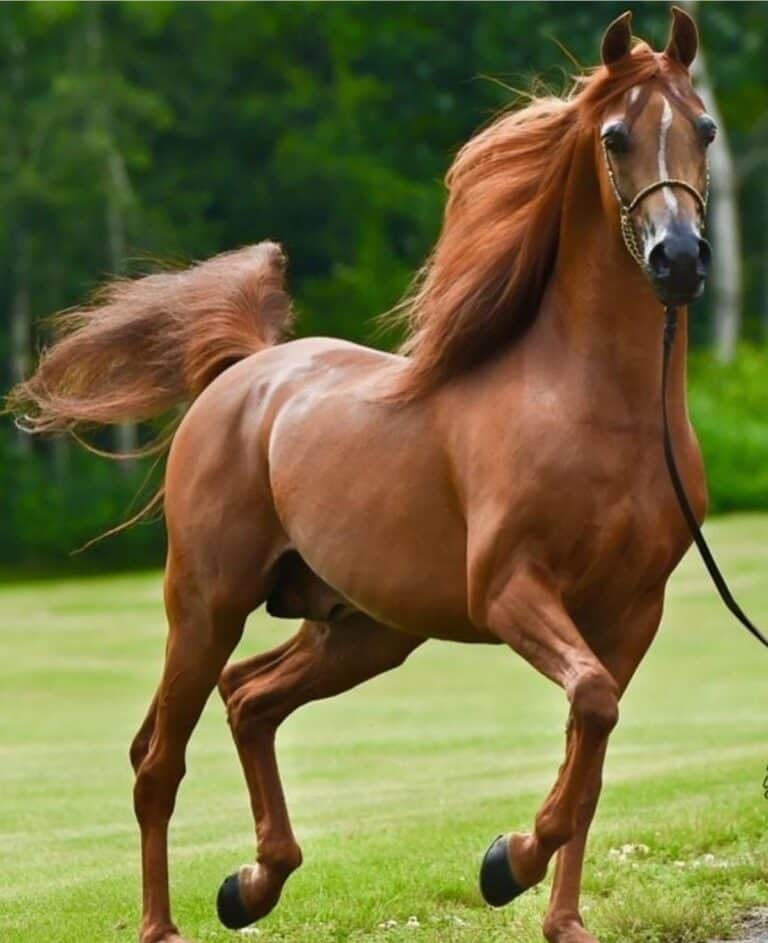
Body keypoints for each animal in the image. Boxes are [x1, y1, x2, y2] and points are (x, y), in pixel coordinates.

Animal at [8, 8, 717, 943]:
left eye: (705, 128)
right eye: (615, 135)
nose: (680, 258)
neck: (598, 409)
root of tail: (247, 370)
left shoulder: (631, 612)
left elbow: (590, 751)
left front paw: (561, 918)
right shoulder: (511, 590)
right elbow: (592, 710)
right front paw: (505, 863)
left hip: (362, 629)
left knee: (250, 700)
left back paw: (254, 882)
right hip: (206, 604)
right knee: (158, 759)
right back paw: (166, 923)